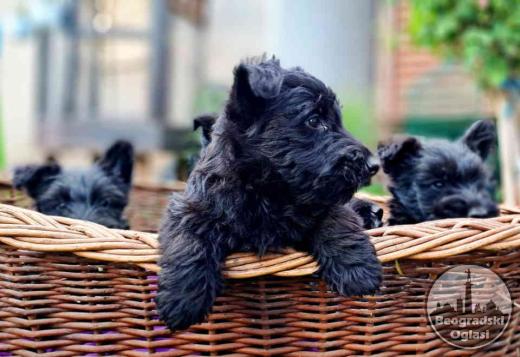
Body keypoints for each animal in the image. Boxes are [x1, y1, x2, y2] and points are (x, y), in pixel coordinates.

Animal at [157, 56, 382, 330]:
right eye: (313, 120)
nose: (374, 165)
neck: (268, 190)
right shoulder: (188, 209)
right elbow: (189, 242)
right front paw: (183, 300)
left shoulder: (323, 202)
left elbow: (338, 221)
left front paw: (357, 271)